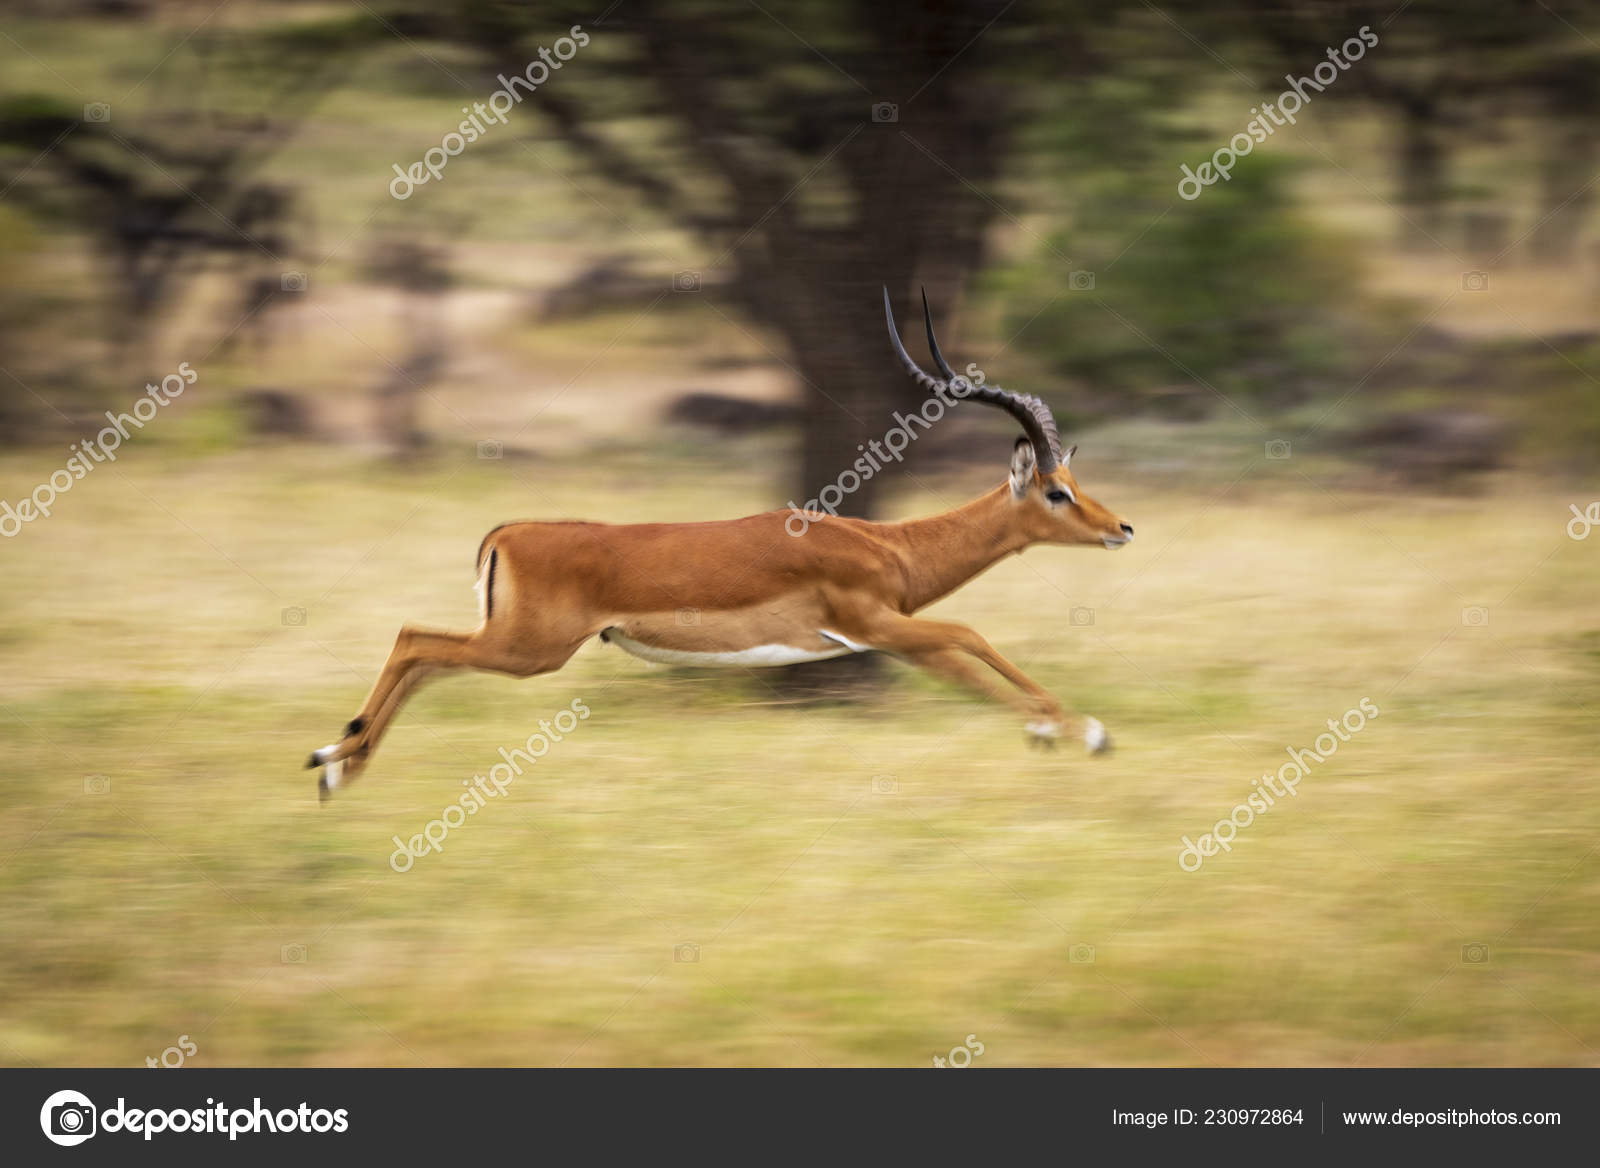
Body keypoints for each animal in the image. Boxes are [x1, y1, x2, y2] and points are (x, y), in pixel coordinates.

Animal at [308, 289, 1134, 799]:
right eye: (1056, 492)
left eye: (1075, 481)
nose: (1121, 528)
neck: (888, 547)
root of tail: (510, 532)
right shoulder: (875, 623)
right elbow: (970, 634)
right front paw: (1082, 731)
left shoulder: (886, 636)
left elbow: (967, 661)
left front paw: (1055, 729)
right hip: (528, 650)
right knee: (414, 640)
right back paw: (331, 763)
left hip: (517, 646)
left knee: (421, 654)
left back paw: (338, 767)